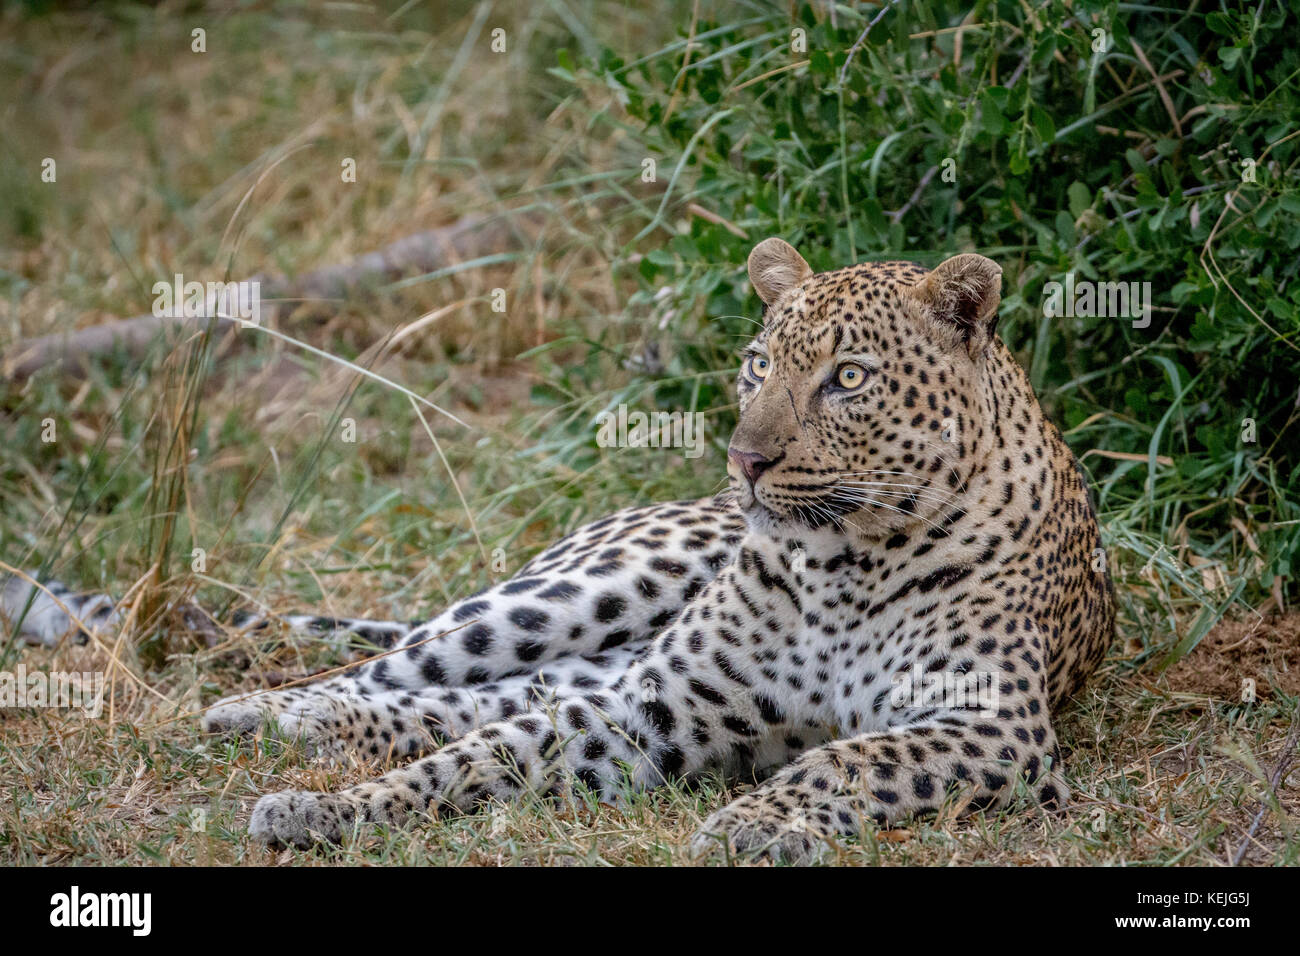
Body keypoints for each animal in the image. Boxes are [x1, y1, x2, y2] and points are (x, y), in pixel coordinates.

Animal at [3, 238, 1114, 862]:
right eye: (758, 364)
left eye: (847, 377)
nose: (747, 459)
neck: (842, 564)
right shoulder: (653, 708)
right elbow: (489, 754)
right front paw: (334, 811)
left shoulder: (992, 726)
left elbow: (853, 757)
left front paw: (756, 821)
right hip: (583, 594)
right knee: (406, 666)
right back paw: (268, 716)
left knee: (472, 699)